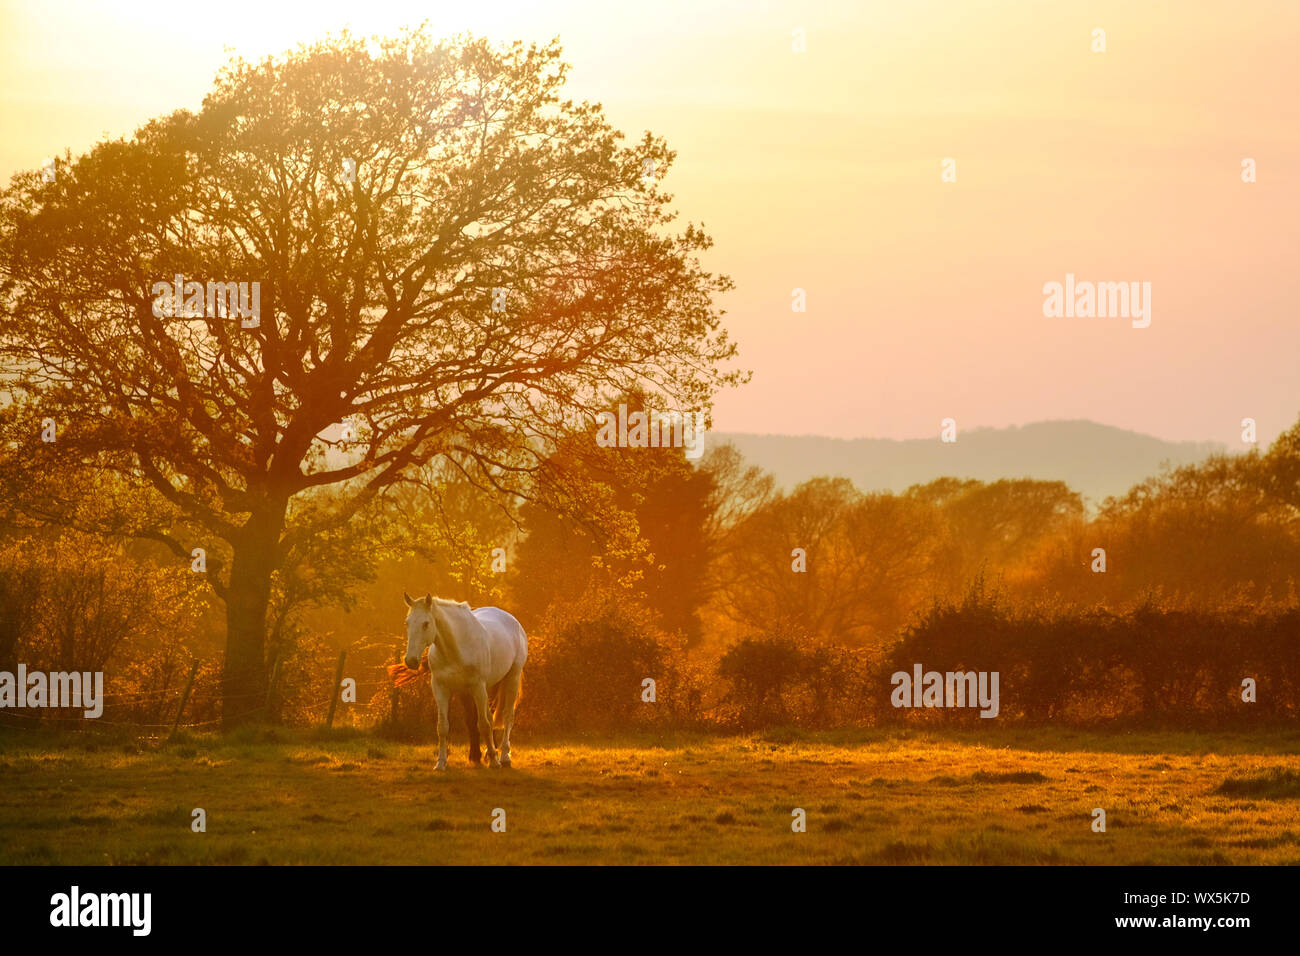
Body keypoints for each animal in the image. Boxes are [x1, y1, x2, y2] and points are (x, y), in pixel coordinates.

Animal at [403, 592, 528, 770]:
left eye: (426, 624)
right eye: (407, 623)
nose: (411, 660)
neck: (456, 647)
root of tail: (513, 621)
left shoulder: (478, 687)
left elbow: (483, 725)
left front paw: (494, 761)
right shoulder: (441, 688)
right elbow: (443, 727)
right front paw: (441, 762)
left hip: (512, 678)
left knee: (507, 716)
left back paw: (504, 757)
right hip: (483, 689)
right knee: (490, 717)